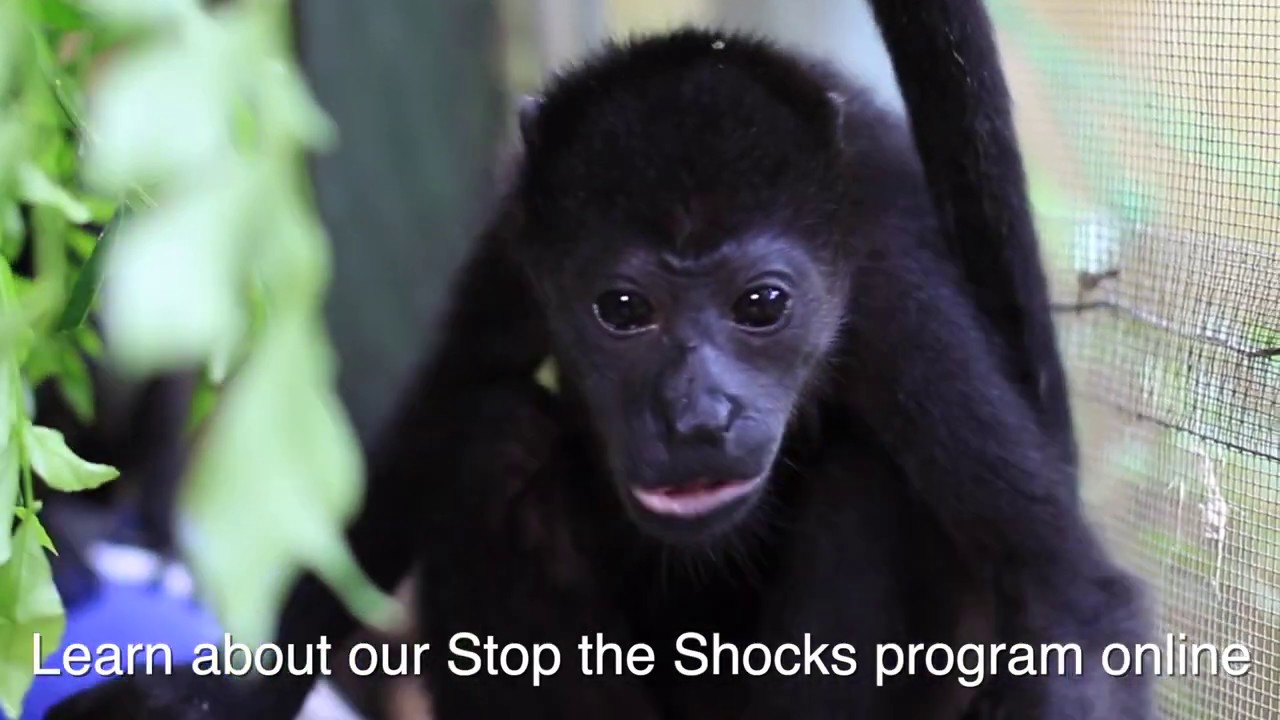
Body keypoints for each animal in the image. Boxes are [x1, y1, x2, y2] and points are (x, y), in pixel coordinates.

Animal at [46, 0, 1156, 718]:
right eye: (622, 309)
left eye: (762, 305)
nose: (696, 415)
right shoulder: (513, 237)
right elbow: (424, 443)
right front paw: (215, 695)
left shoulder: (892, 281)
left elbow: (1072, 600)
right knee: (493, 436)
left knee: (864, 479)